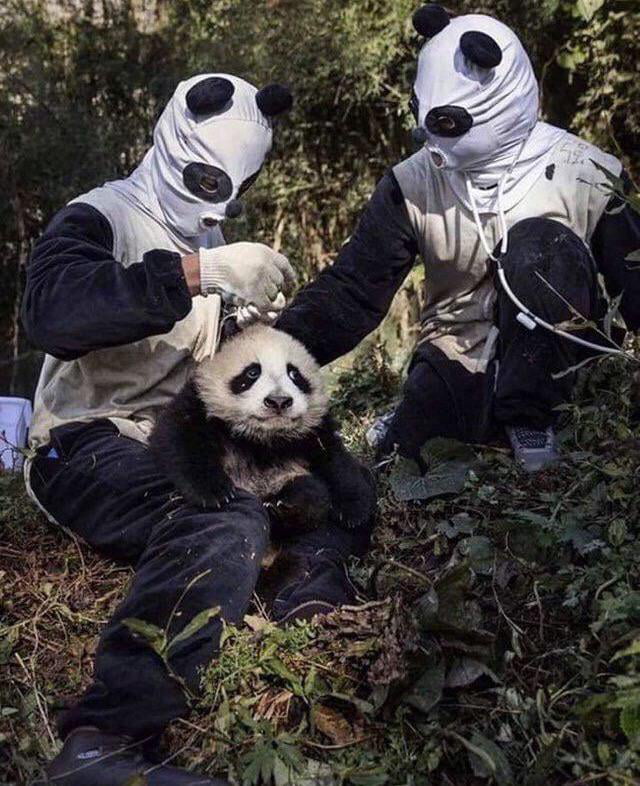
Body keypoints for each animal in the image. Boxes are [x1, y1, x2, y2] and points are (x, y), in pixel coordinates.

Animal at [149, 325, 377, 543]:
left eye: (294, 374)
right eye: (252, 373)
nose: (278, 401)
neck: (263, 437)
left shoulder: (313, 431)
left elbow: (333, 458)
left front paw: (353, 510)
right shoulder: (201, 404)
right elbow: (178, 436)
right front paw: (214, 491)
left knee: (312, 493)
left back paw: (284, 507)